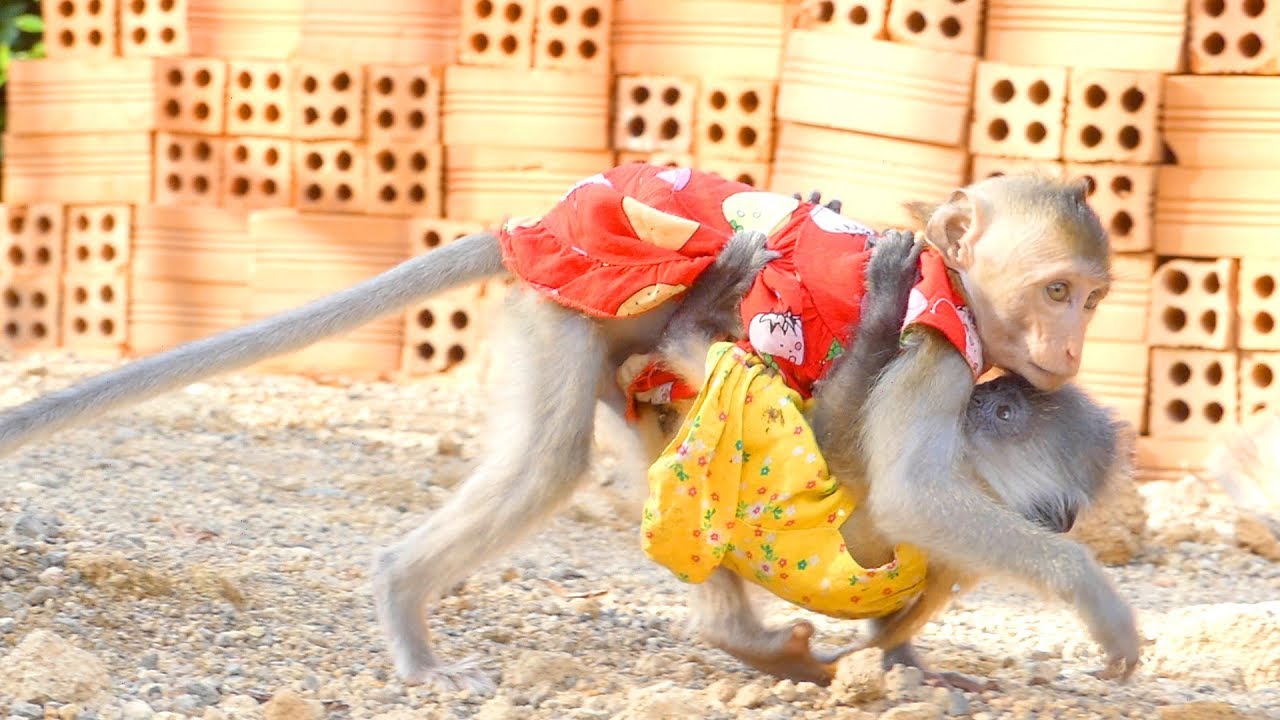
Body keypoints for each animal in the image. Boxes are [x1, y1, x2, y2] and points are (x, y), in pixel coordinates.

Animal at [0, 165, 1140, 692]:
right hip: (565, 313)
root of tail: (537, 227)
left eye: (1092, 296)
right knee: (553, 459)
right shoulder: (935, 357)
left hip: (604, 347)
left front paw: (904, 663)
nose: (1072, 342)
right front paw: (1098, 606)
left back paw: (735, 633)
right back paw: (407, 613)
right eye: (1056, 290)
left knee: (662, 416)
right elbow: (904, 492)